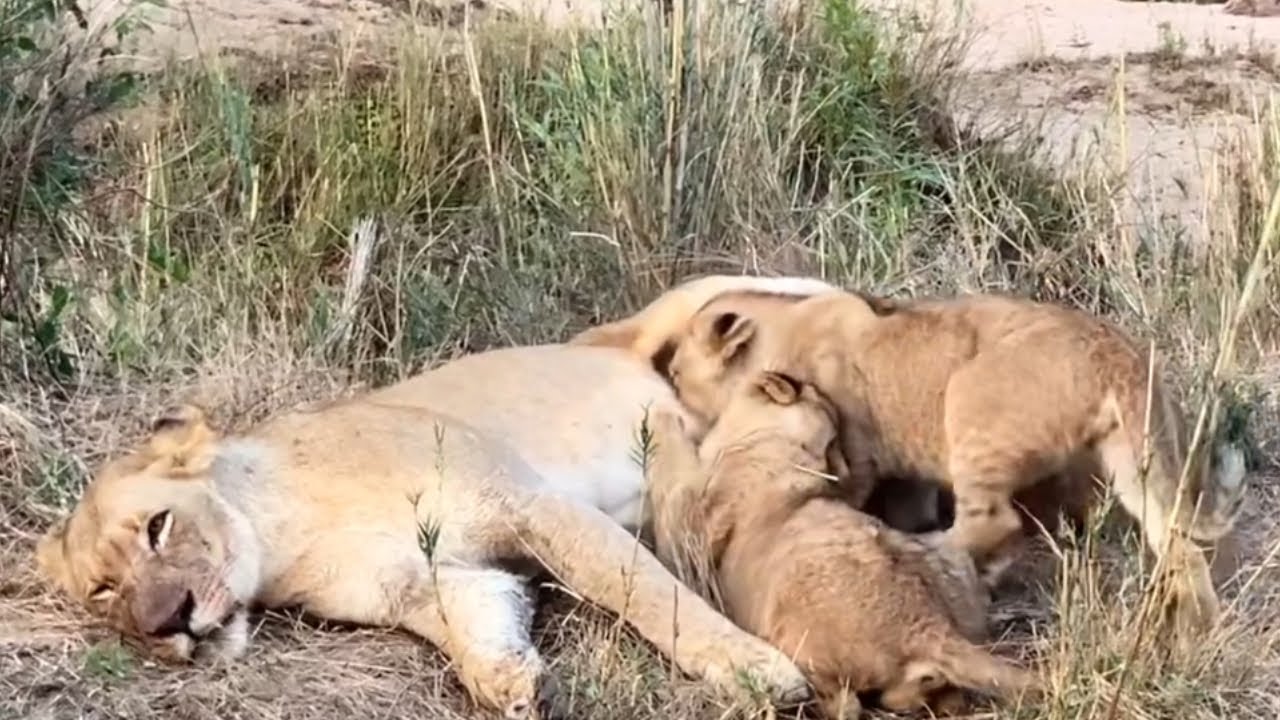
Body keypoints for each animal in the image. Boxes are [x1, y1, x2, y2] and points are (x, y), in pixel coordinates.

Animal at [34, 274, 853, 720]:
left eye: (158, 526)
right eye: (105, 591)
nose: (166, 623)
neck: (284, 530)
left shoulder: (531, 506)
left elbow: (655, 600)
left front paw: (757, 671)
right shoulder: (430, 579)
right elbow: (473, 630)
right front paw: (512, 684)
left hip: (719, 297)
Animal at [646, 369, 1038, 719]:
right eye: (834, 437)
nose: (843, 472)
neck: (769, 445)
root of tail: (929, 628)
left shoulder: (691, 519)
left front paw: (660, 419)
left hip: (796, 638)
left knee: (846, 703)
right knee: (940, 696)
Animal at [660, 289, 1248, 634]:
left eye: (678, 374)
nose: (672, 394)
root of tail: (1118, 353)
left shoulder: (854, 450)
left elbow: (844, 486)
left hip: (969, 404)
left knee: (997, 521)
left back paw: (937, 558)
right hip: (1133, 461)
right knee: (1177, 541)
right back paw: (1196, 632)